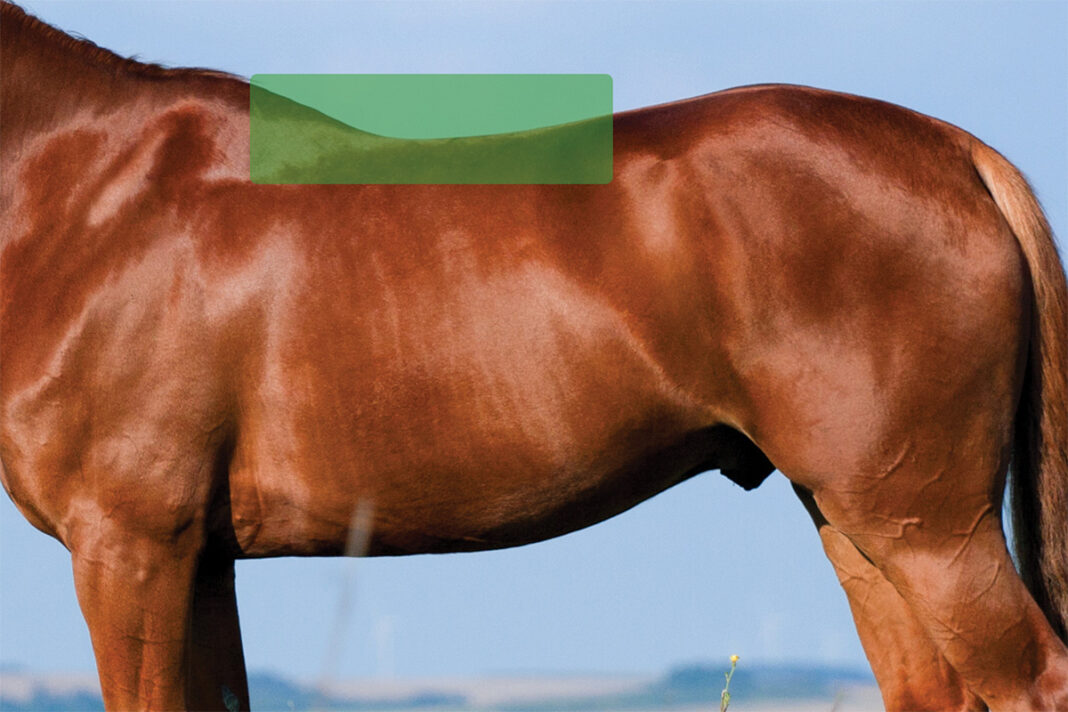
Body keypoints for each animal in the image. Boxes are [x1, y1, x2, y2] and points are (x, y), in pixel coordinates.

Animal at [2, 2, 1066, 710]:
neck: (92, 199)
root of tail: (954, 151)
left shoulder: (132, 548)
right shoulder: (203, 561)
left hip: (932, 529)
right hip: (858, 523)